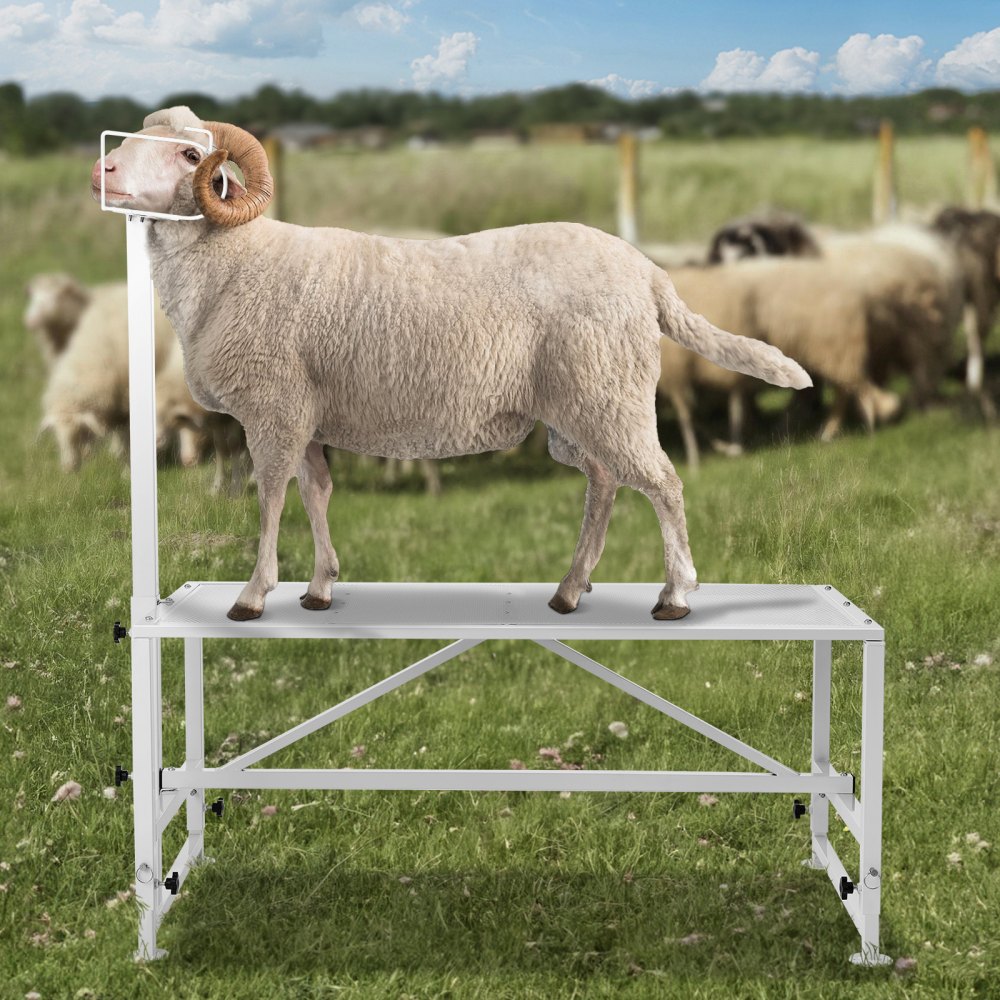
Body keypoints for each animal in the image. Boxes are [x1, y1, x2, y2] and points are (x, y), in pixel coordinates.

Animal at [93, 106, 811, 622]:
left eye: (192, 154)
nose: (104, 171)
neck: (233, 259)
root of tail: (647, 272)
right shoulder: (307, 413)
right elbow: (316, 492)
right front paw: (319, 587)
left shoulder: (275, 407)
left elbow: (271, 498)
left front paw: (252, 595)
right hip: (580, 408)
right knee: (605, 481)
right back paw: (570, 589)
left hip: (610, 393)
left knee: (662, 483)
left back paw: (675, 596)